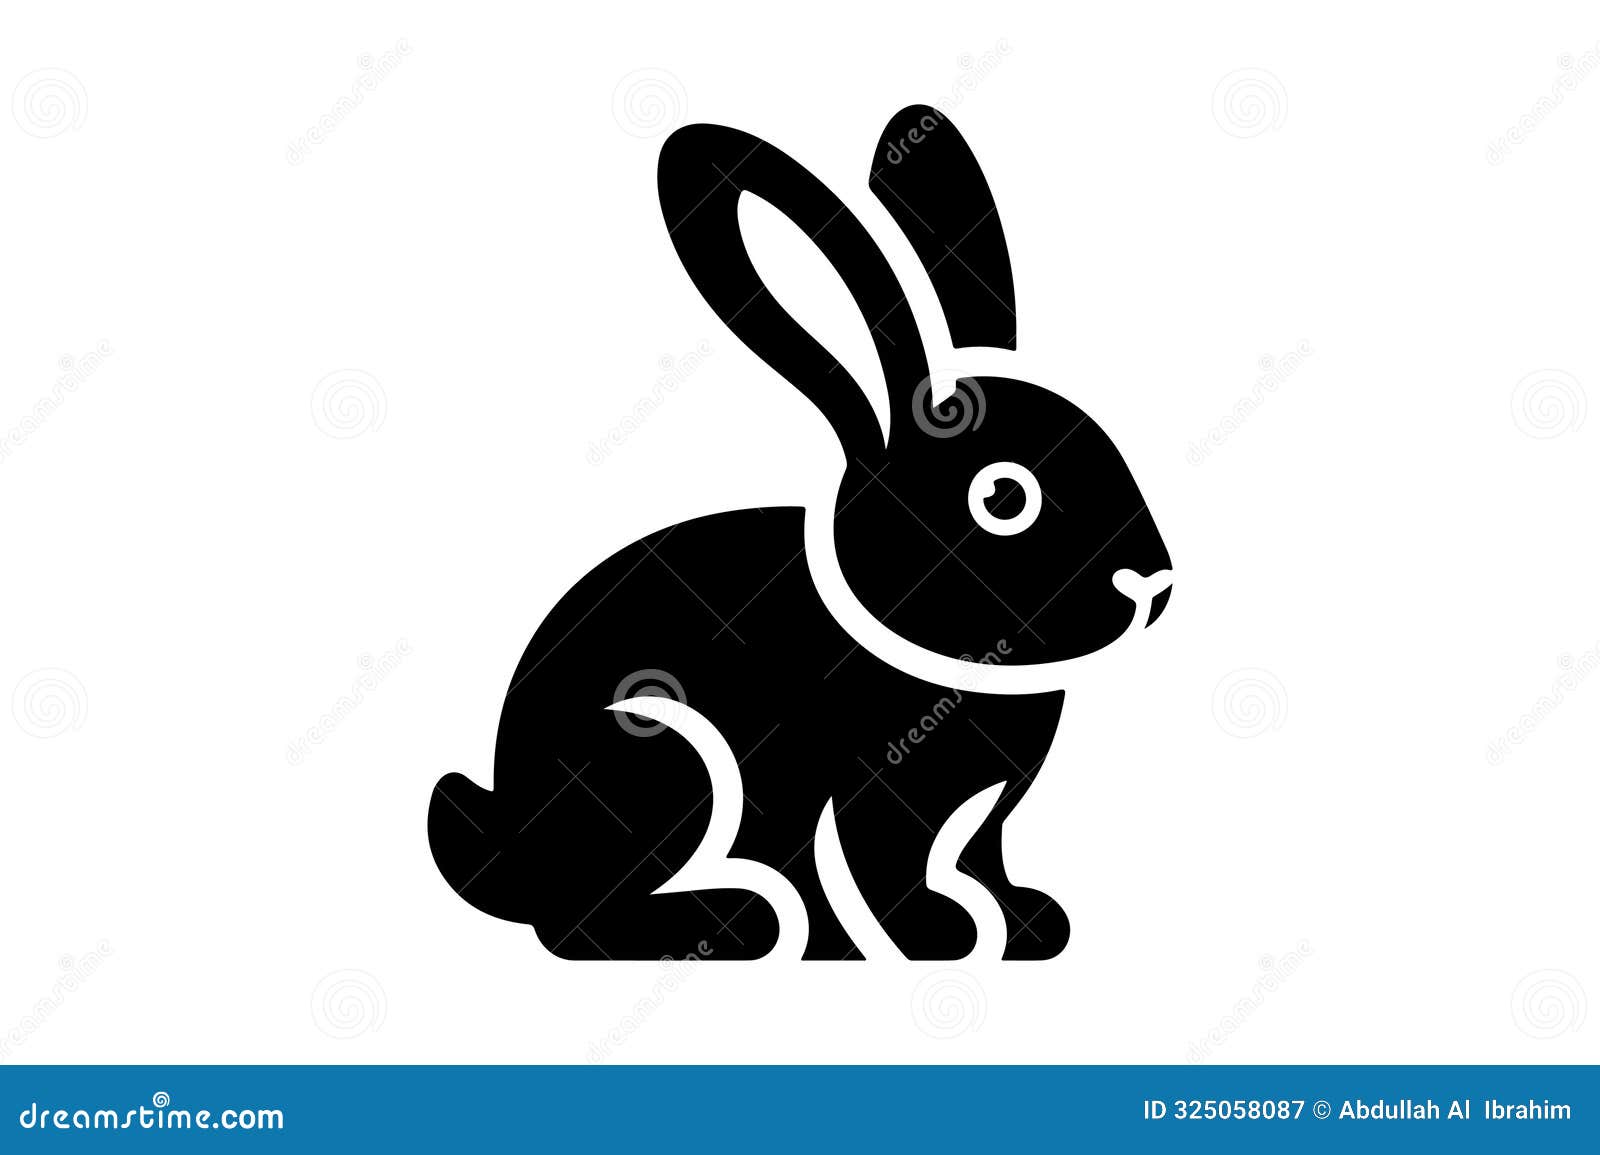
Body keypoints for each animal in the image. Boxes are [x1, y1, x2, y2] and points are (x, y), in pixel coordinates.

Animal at [428, 105, 1172, 961]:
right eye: (1004, 495)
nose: (1150, 583)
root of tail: (504, 846)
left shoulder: (980, 812)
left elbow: (982, 854)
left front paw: (1031, 924)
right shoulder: (857, 795)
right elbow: (874, 867)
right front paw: (931, 938)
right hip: (662, 760)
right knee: (574, 921)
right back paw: (737, 924)